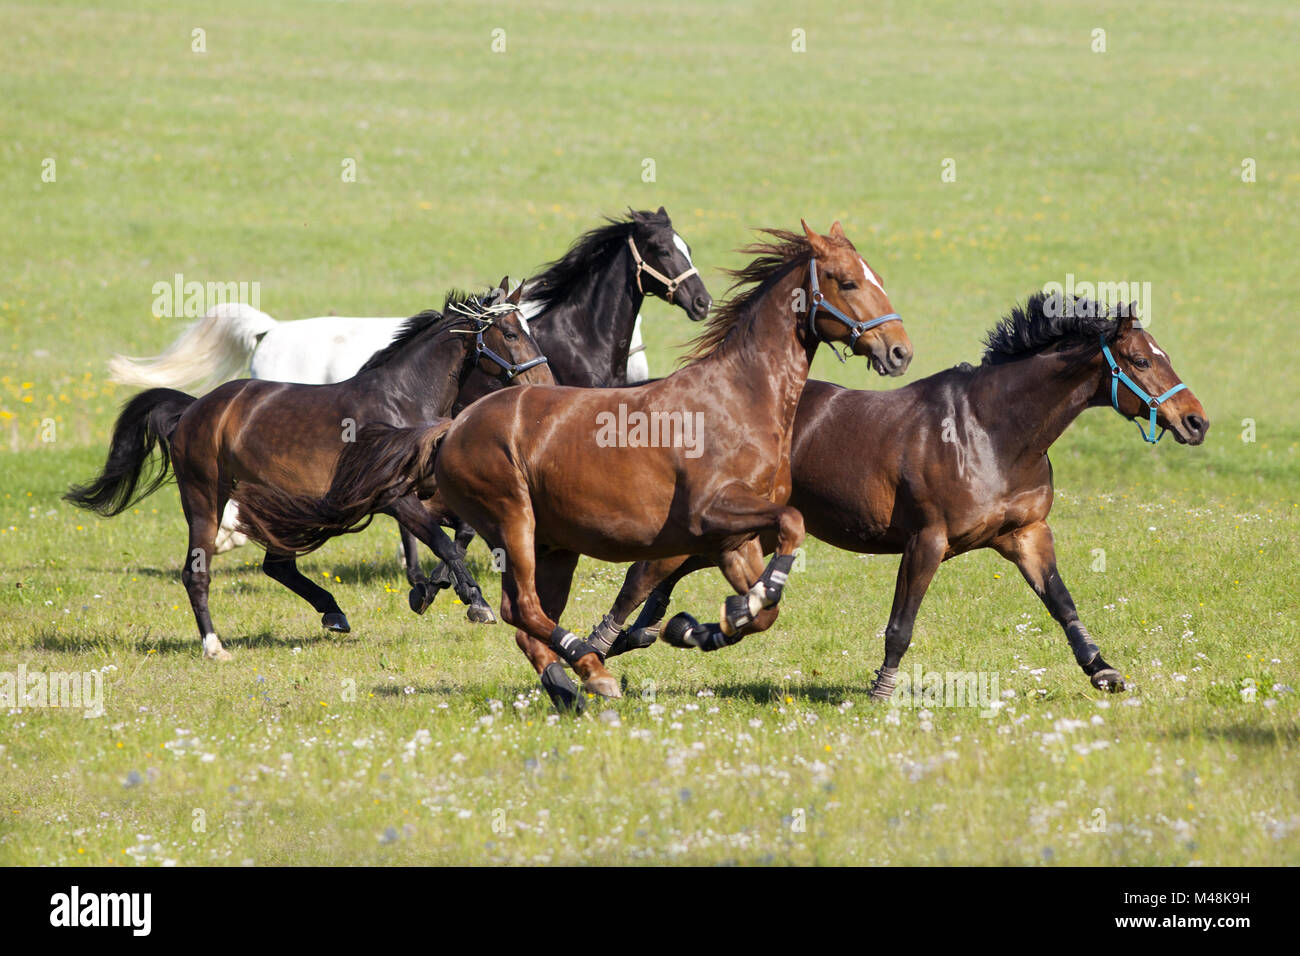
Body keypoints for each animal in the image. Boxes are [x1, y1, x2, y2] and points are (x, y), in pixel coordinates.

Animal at [66, 287, 553, 661]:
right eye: (511, 333)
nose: (545, 386)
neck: (402, 403)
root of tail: (194, 408)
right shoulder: (395, 497)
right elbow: (444, 545)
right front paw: (475, 603)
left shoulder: (430, 494)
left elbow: (459, 536)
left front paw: (431, 593)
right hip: (205, 498)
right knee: (196, 573)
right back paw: (214, 646)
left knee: (276, 566)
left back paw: (332, 611)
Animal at [229, 221, 914, 710]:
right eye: (847, 281)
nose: (901, 351)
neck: (740, 397)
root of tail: (453, 425)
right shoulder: (712, 516)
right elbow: (790, 529)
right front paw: (695, 623)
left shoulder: (731, 539)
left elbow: (761, 609)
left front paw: (702, 626)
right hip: (518, 523)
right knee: (520, 609)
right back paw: (587, 667)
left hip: (557, 544)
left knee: (527, 619)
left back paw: (567, 681)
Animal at [592, 292, 1208, 698]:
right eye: (1141, 360)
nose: (1196, 421)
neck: (993, 433)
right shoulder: (926, 540)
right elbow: (900, 625)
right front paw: (881, 692)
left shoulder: (1026, 534)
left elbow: (1062, 603)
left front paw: (1102, 670)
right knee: (643, 577)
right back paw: (604, 648)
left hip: (750, 533)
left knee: (667, 585)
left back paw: (668, 631)